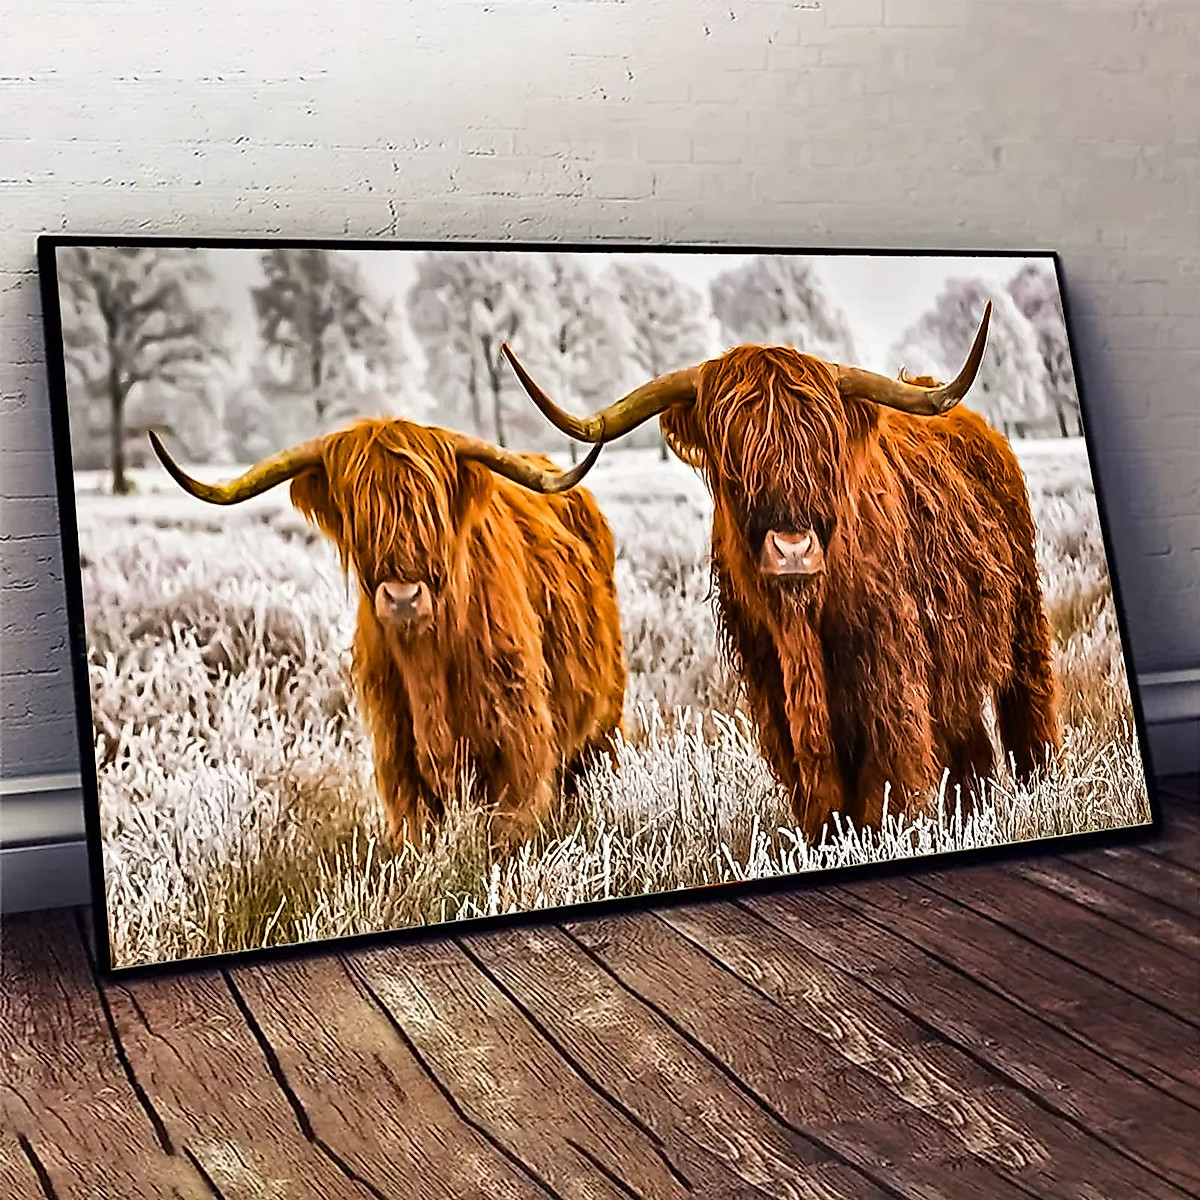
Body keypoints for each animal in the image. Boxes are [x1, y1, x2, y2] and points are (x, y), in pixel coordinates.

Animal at [149, 418, 626, 848]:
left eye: (432, 512)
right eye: (358, 515)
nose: (402, 597)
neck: (427, 662)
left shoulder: (518, 746)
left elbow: (509, 834)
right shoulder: (398, 760)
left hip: (604, 721)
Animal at [500, 303, 1061, 843]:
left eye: (824, 452)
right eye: (734, 458)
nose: (793, 551)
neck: (802, 625)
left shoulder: (889, 676)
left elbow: (890, 776)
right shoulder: (771, 685)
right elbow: (816, 786)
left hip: (1024, 622)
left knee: (1027, 708)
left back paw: (1039, 787)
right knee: (970, 741)